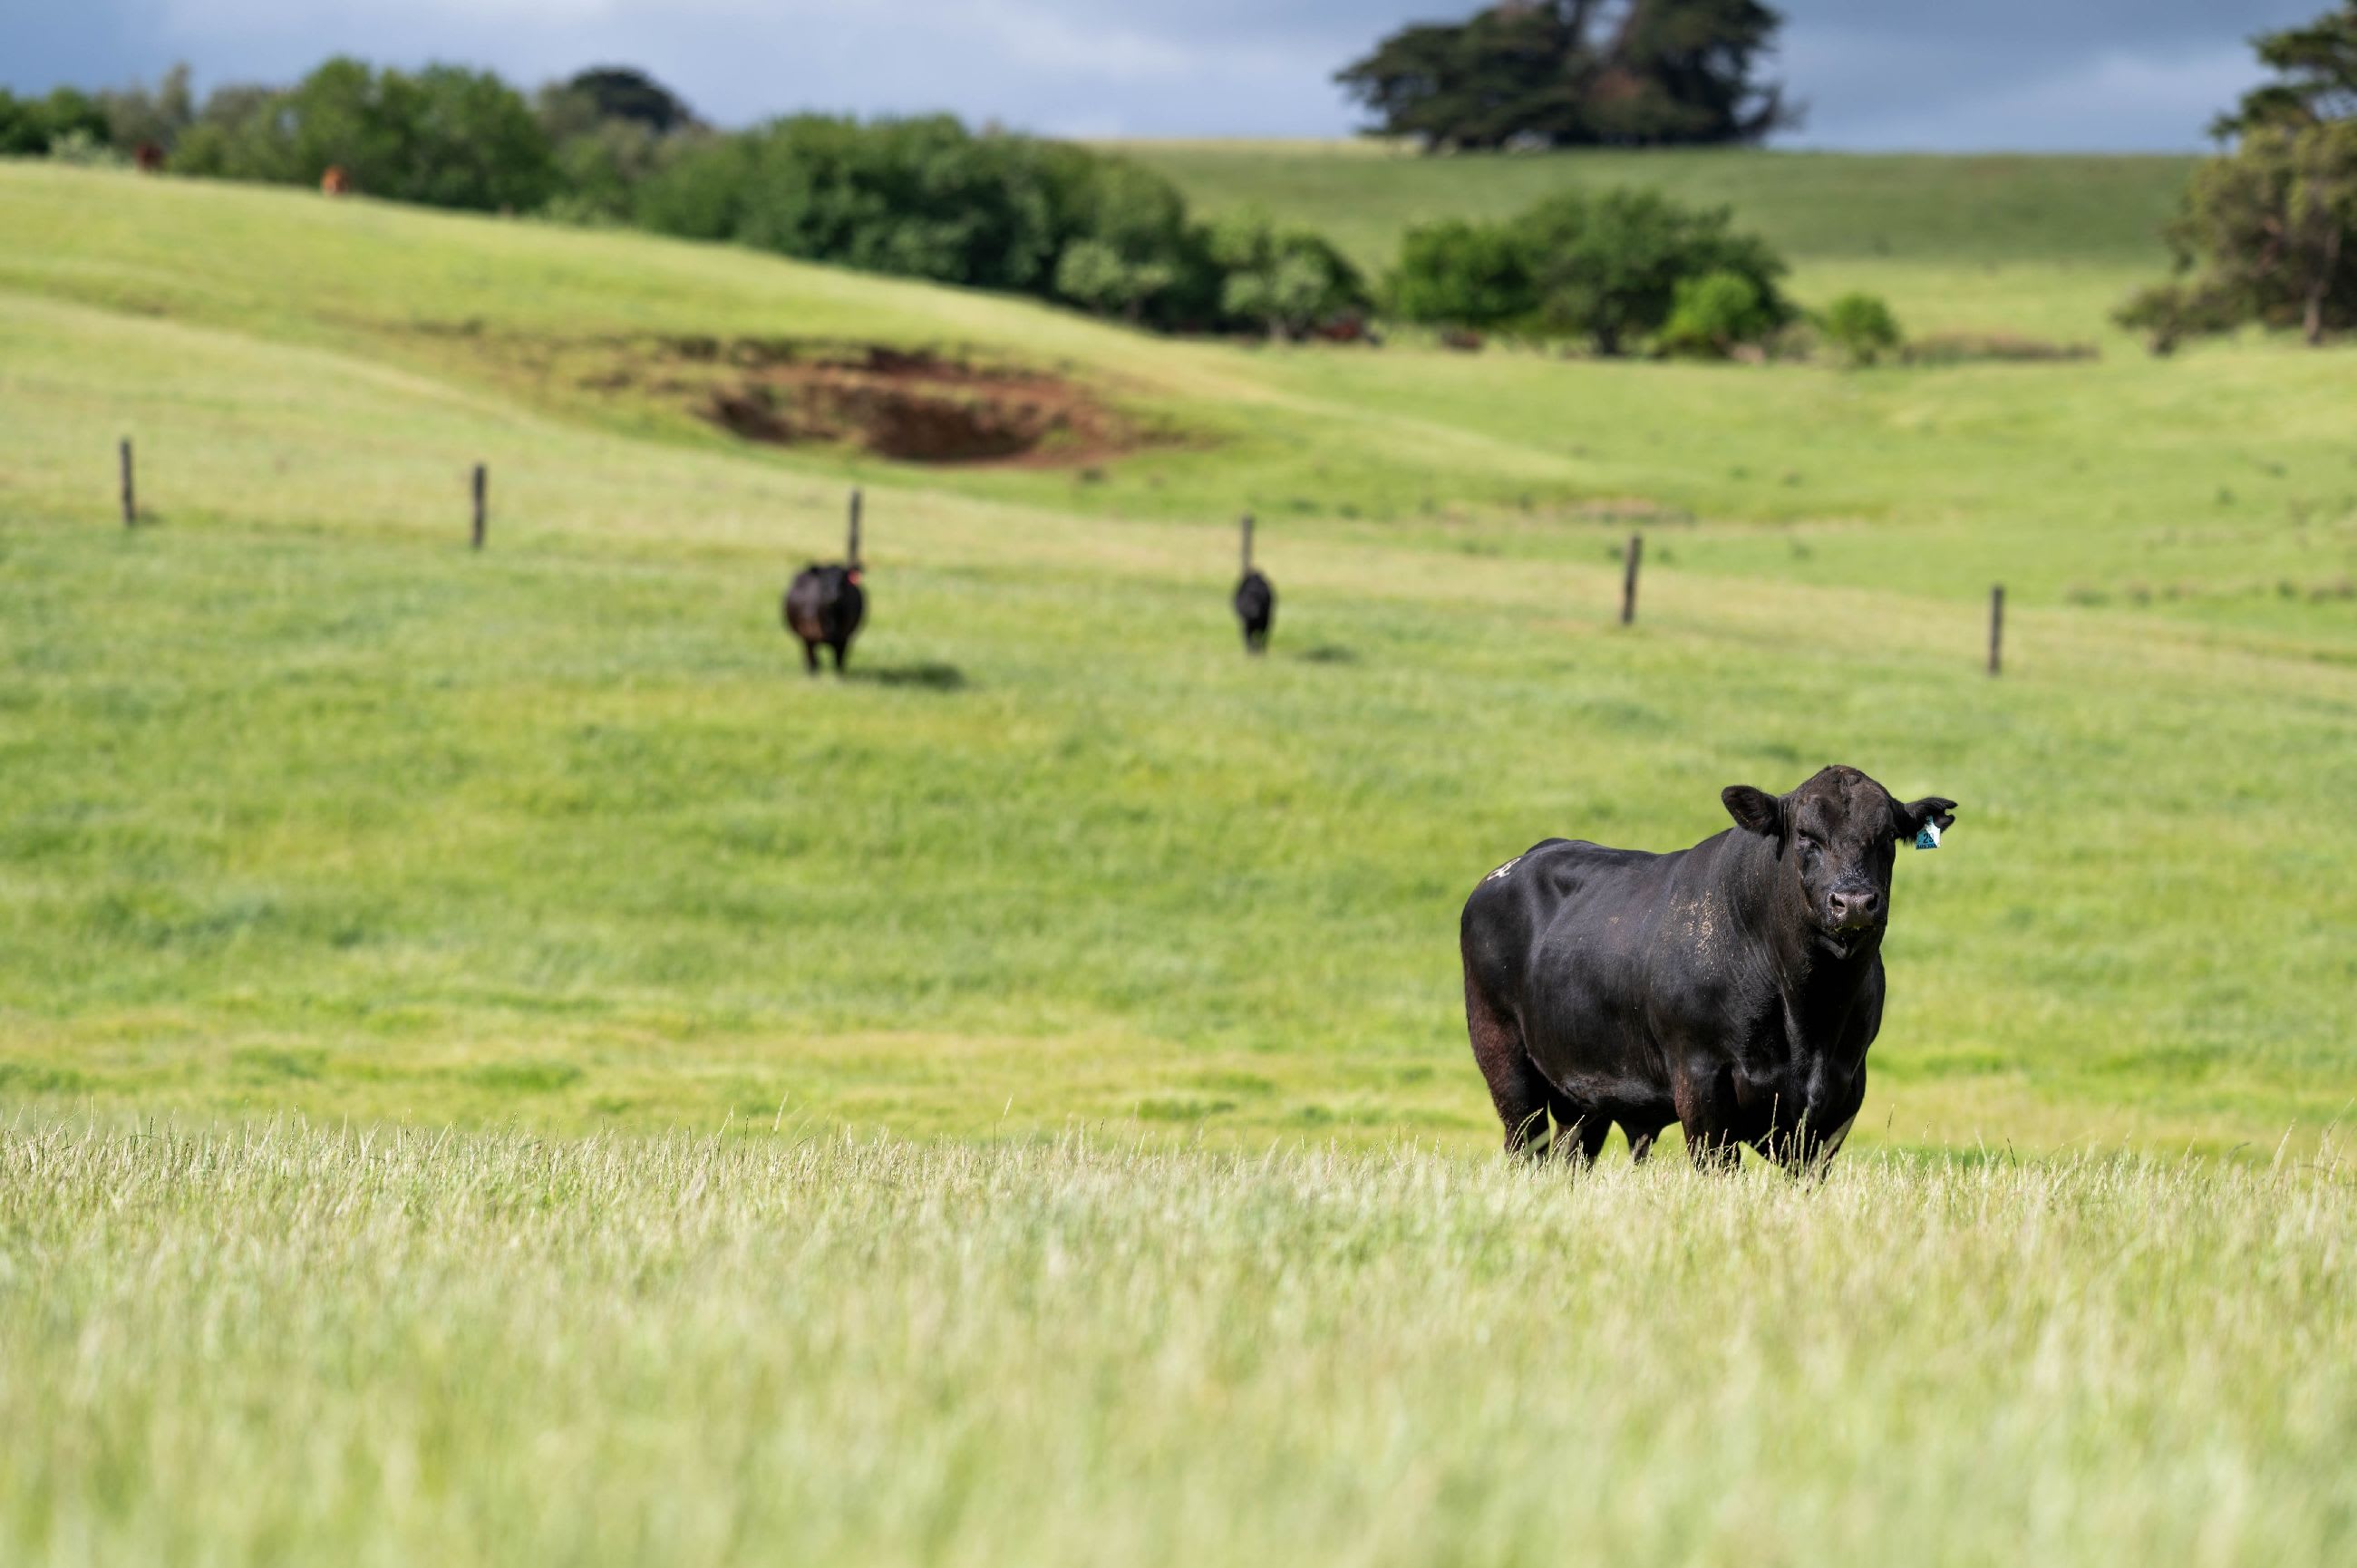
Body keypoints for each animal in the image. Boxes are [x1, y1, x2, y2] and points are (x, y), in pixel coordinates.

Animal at [1459, 766, 1957, 1173]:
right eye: (1805, 836)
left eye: (1886, 837)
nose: (1853, 901)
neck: (1809, 1014)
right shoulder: (1701, 1082)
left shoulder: (1842, 1092)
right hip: (1503, 1058)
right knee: (1526, 1147)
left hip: (1583, 1094)